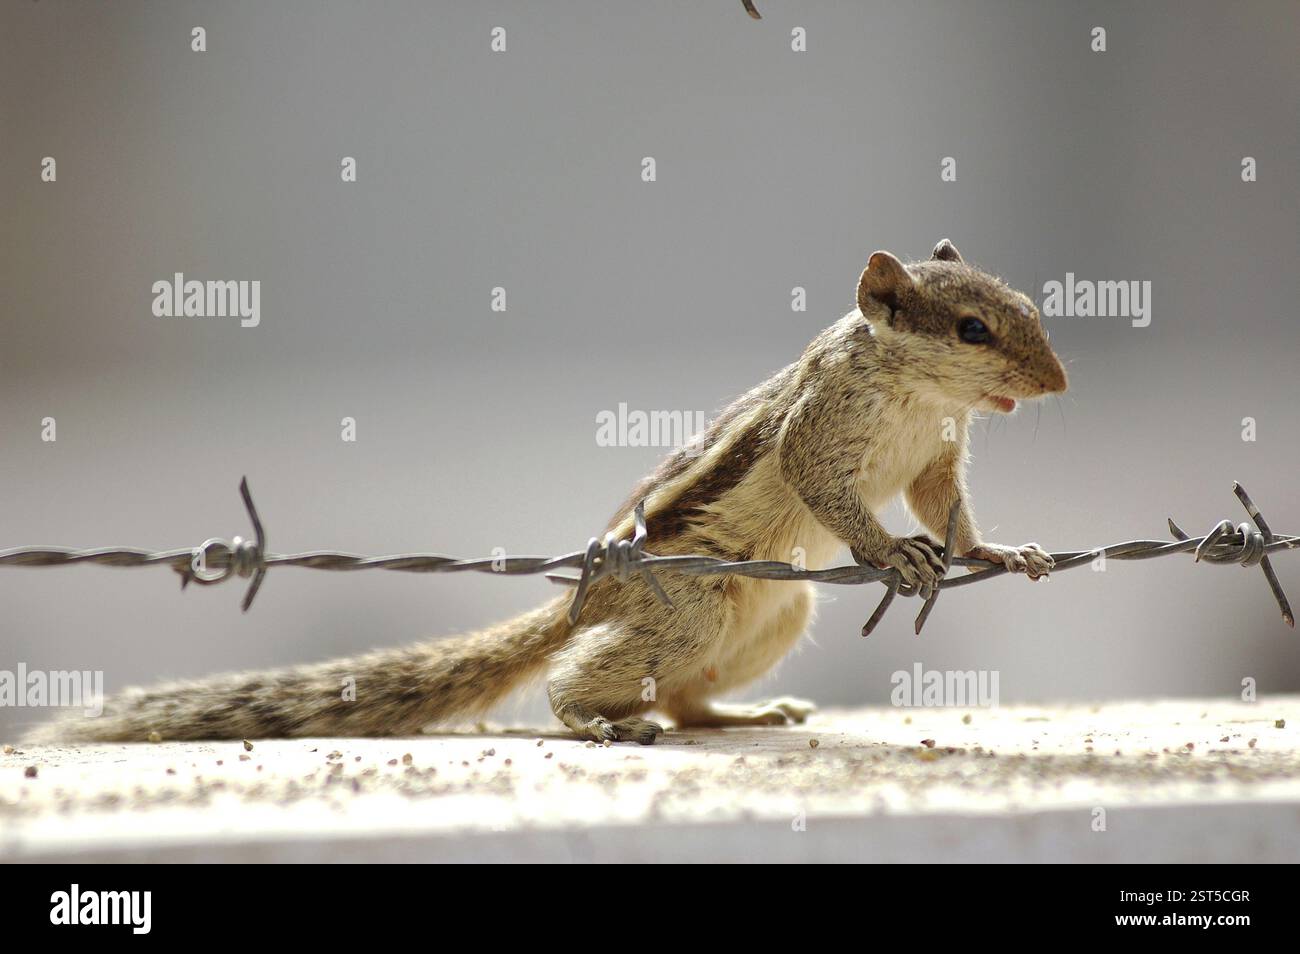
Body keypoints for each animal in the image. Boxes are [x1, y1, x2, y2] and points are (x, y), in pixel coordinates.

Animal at [32, 240, 1066, 746]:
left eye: (1028, 309)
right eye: (973, 329)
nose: (1057, 384)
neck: (923, 395)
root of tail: (591, 590)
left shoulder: (937, 458)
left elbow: (947, 507)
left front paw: (992, 549)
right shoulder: (819, 428)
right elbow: (831, 490)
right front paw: (891, 553)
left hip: (775, 613)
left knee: (683, 701)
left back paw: (737, 716)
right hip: (692, 603)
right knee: (584, 681)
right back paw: (593, 720)